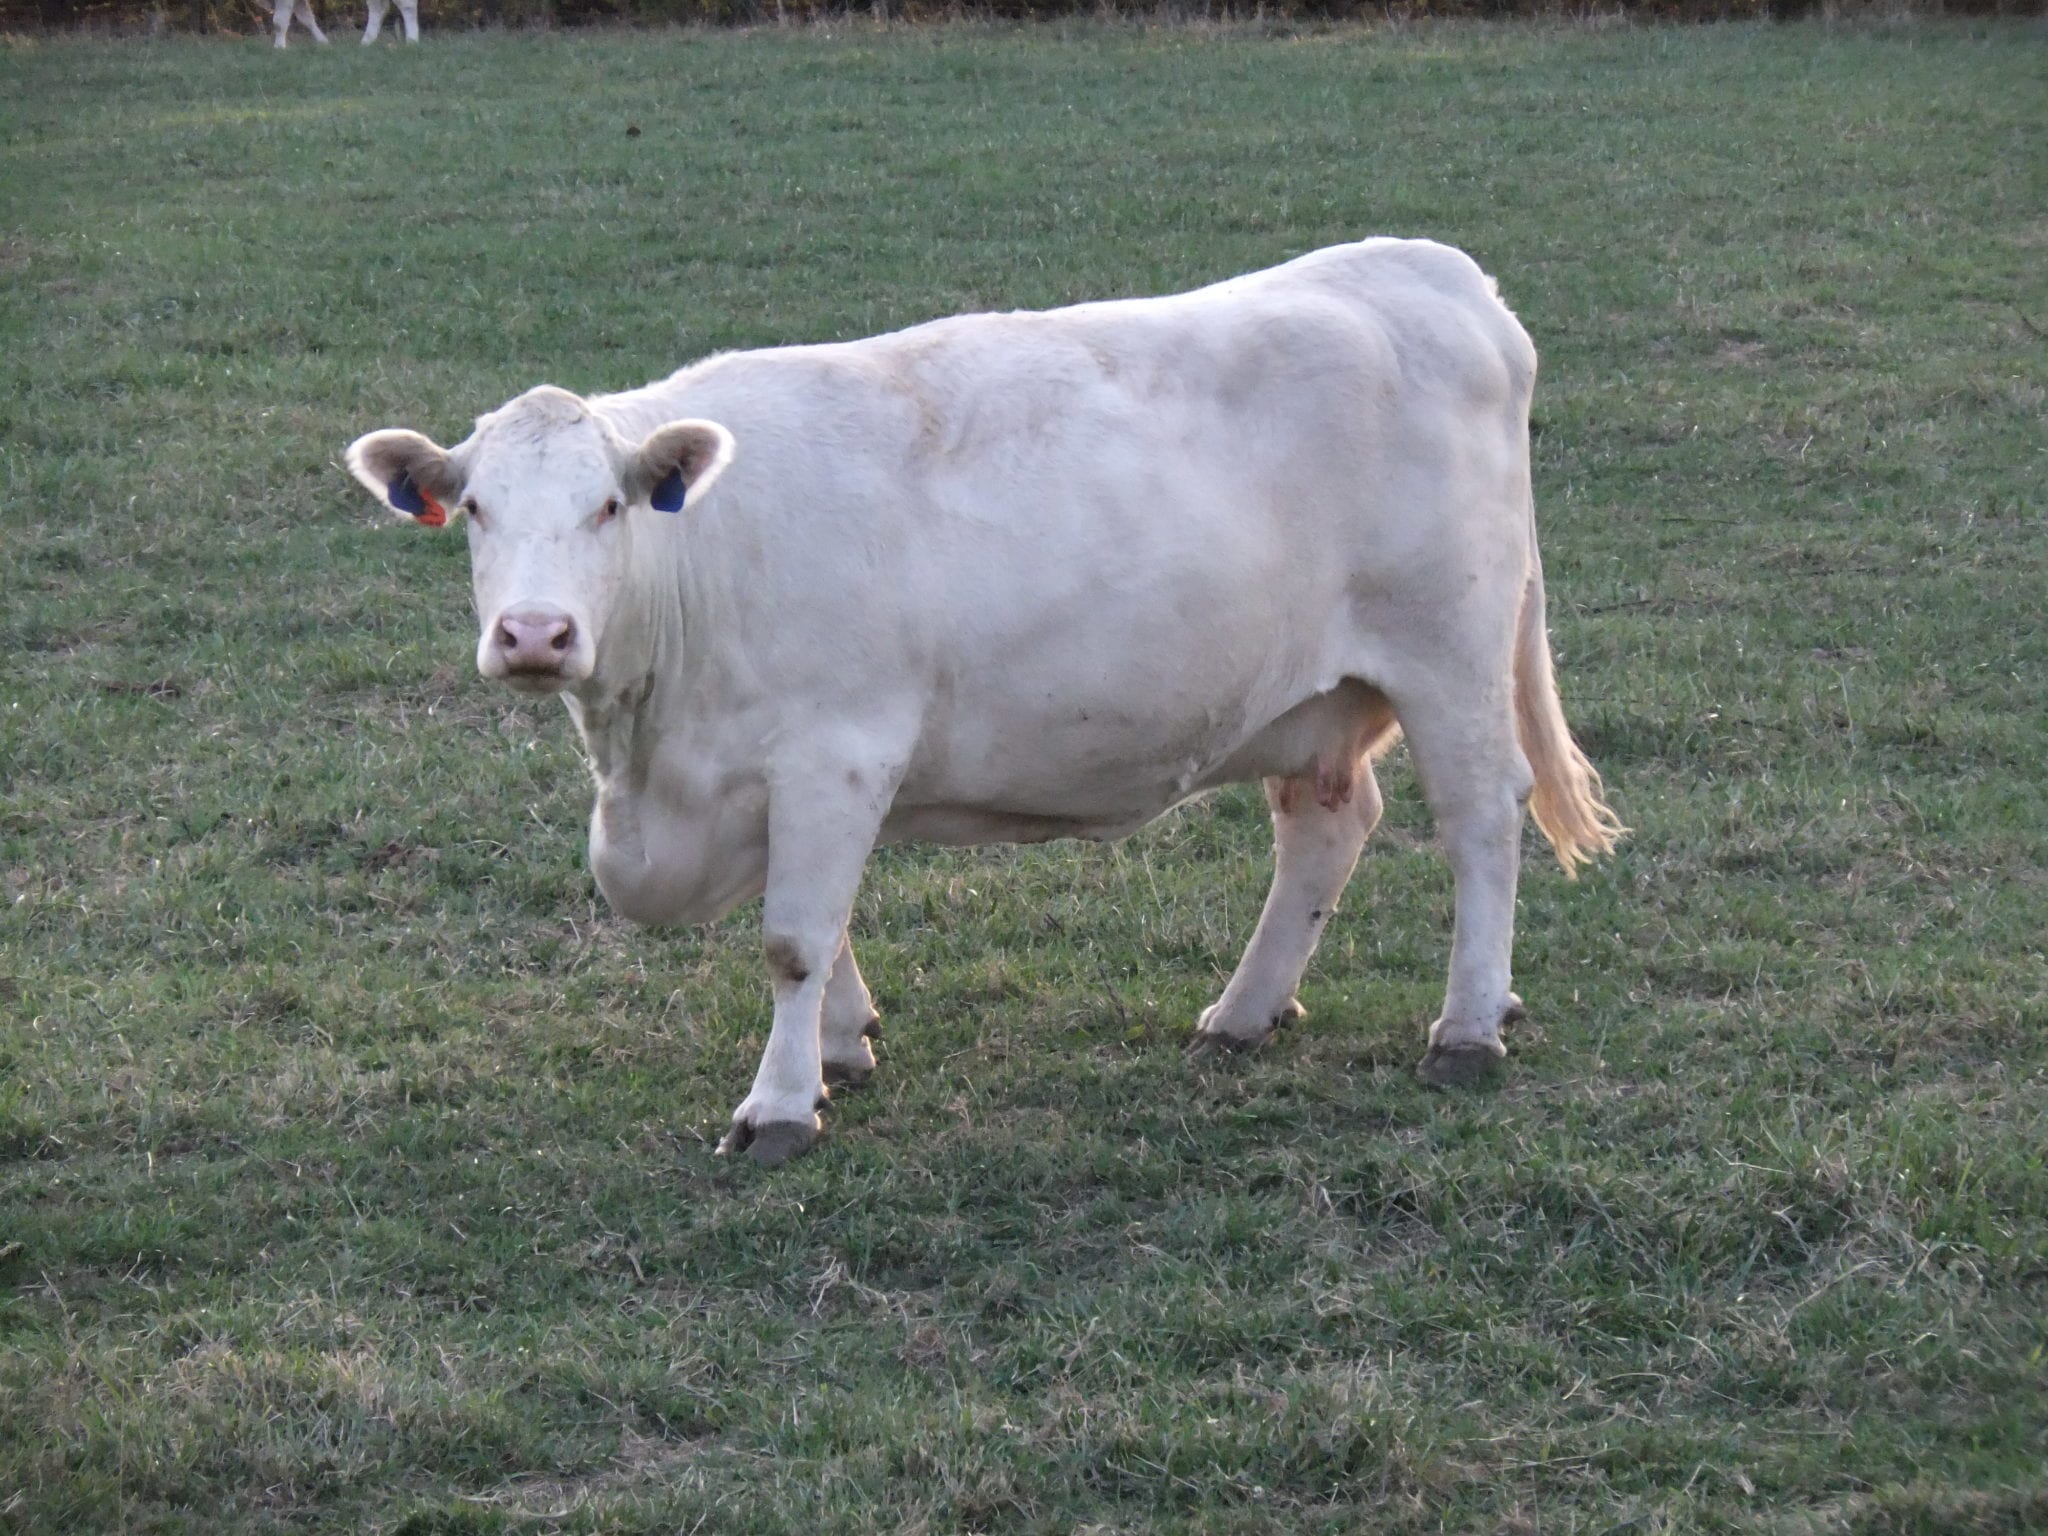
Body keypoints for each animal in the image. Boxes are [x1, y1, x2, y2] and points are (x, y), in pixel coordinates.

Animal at [345, 238, 1624, 1165]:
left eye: (607, 507)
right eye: (474, 511)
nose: (534, 635)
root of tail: (1428, 269)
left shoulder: (834, 754)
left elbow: (791, 938)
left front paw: (780, 1106)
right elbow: (822, 927)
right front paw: (843, 1048)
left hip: (1449, 653)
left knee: (1480, 820)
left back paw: (1466, 1028)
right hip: (1310, 696)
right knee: (1327, 824)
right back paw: (1244, 1012)